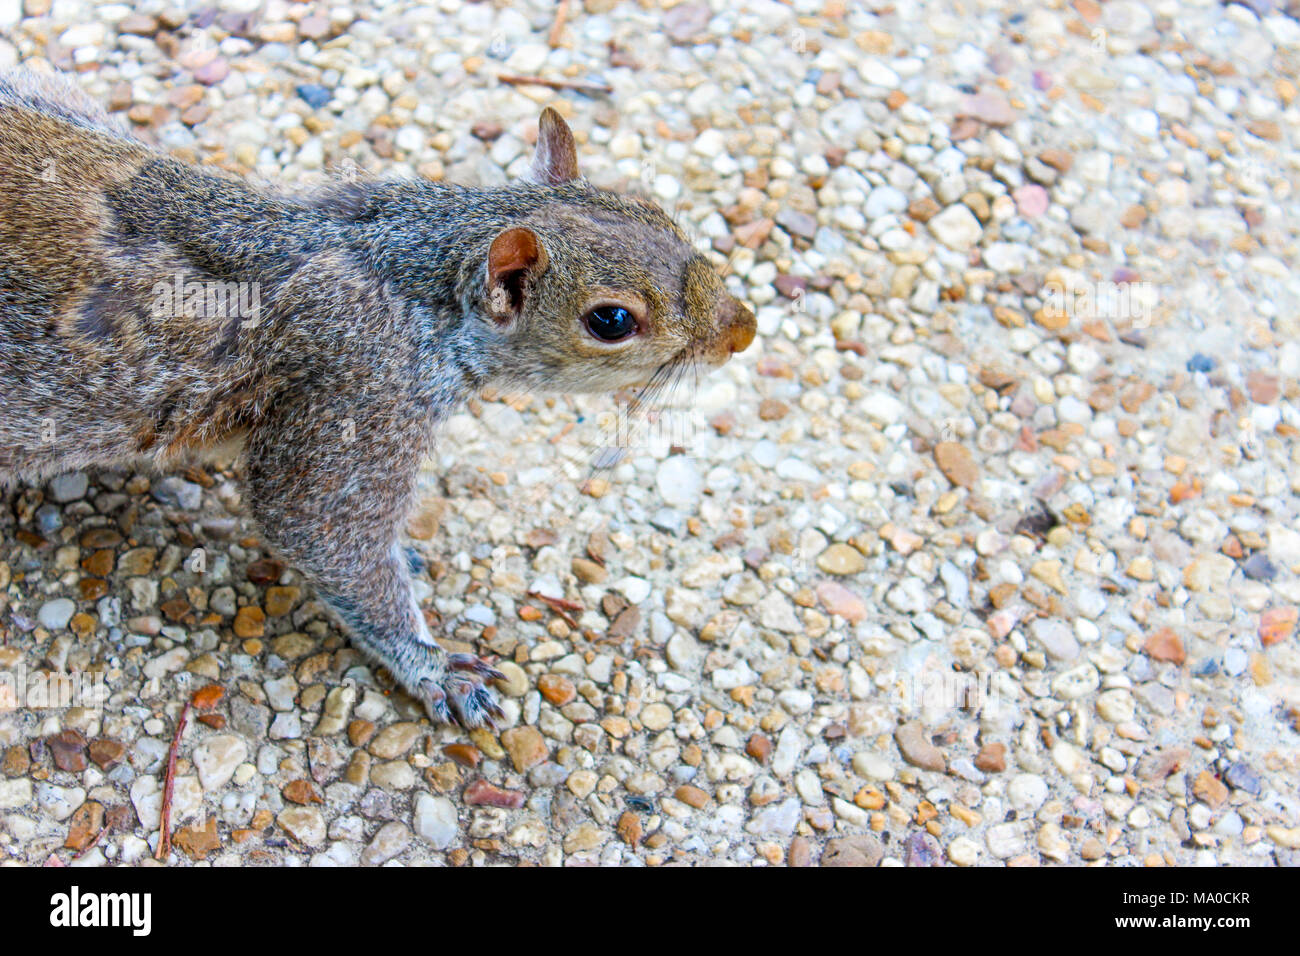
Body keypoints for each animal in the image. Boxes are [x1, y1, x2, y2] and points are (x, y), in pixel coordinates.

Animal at [0, 66, 756, 729]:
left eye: (657, 214)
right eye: (611, 320)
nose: (742, 330)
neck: (404, 266)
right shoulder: (360, 383)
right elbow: (318, 526)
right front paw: (430, 665)